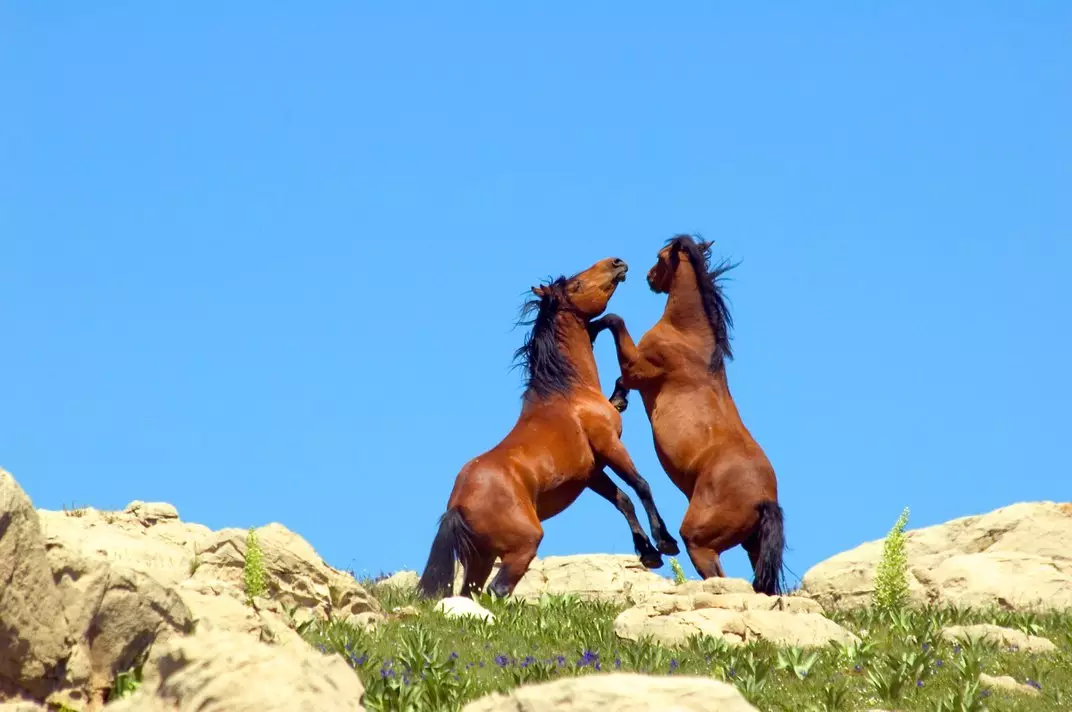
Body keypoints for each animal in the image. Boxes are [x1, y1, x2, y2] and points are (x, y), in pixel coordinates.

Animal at [415, 256, 677, 600]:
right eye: (576, 285)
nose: (616, 262)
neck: (569, 392)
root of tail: (457, 506)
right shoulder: (609, 444)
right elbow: (641, 485)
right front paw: (665, 543)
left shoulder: (591, 472)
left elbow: (623, 499)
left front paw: (648, 553)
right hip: (522, 546)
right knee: (498, 589)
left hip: (481, 558)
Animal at [587, 234, 788, 596]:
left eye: (660, 257)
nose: (650, 277)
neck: (688, 337)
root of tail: (763, 499)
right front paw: (617, 401)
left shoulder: (639, 368)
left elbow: (616, 323)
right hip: (752, 547)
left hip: (700, 542)